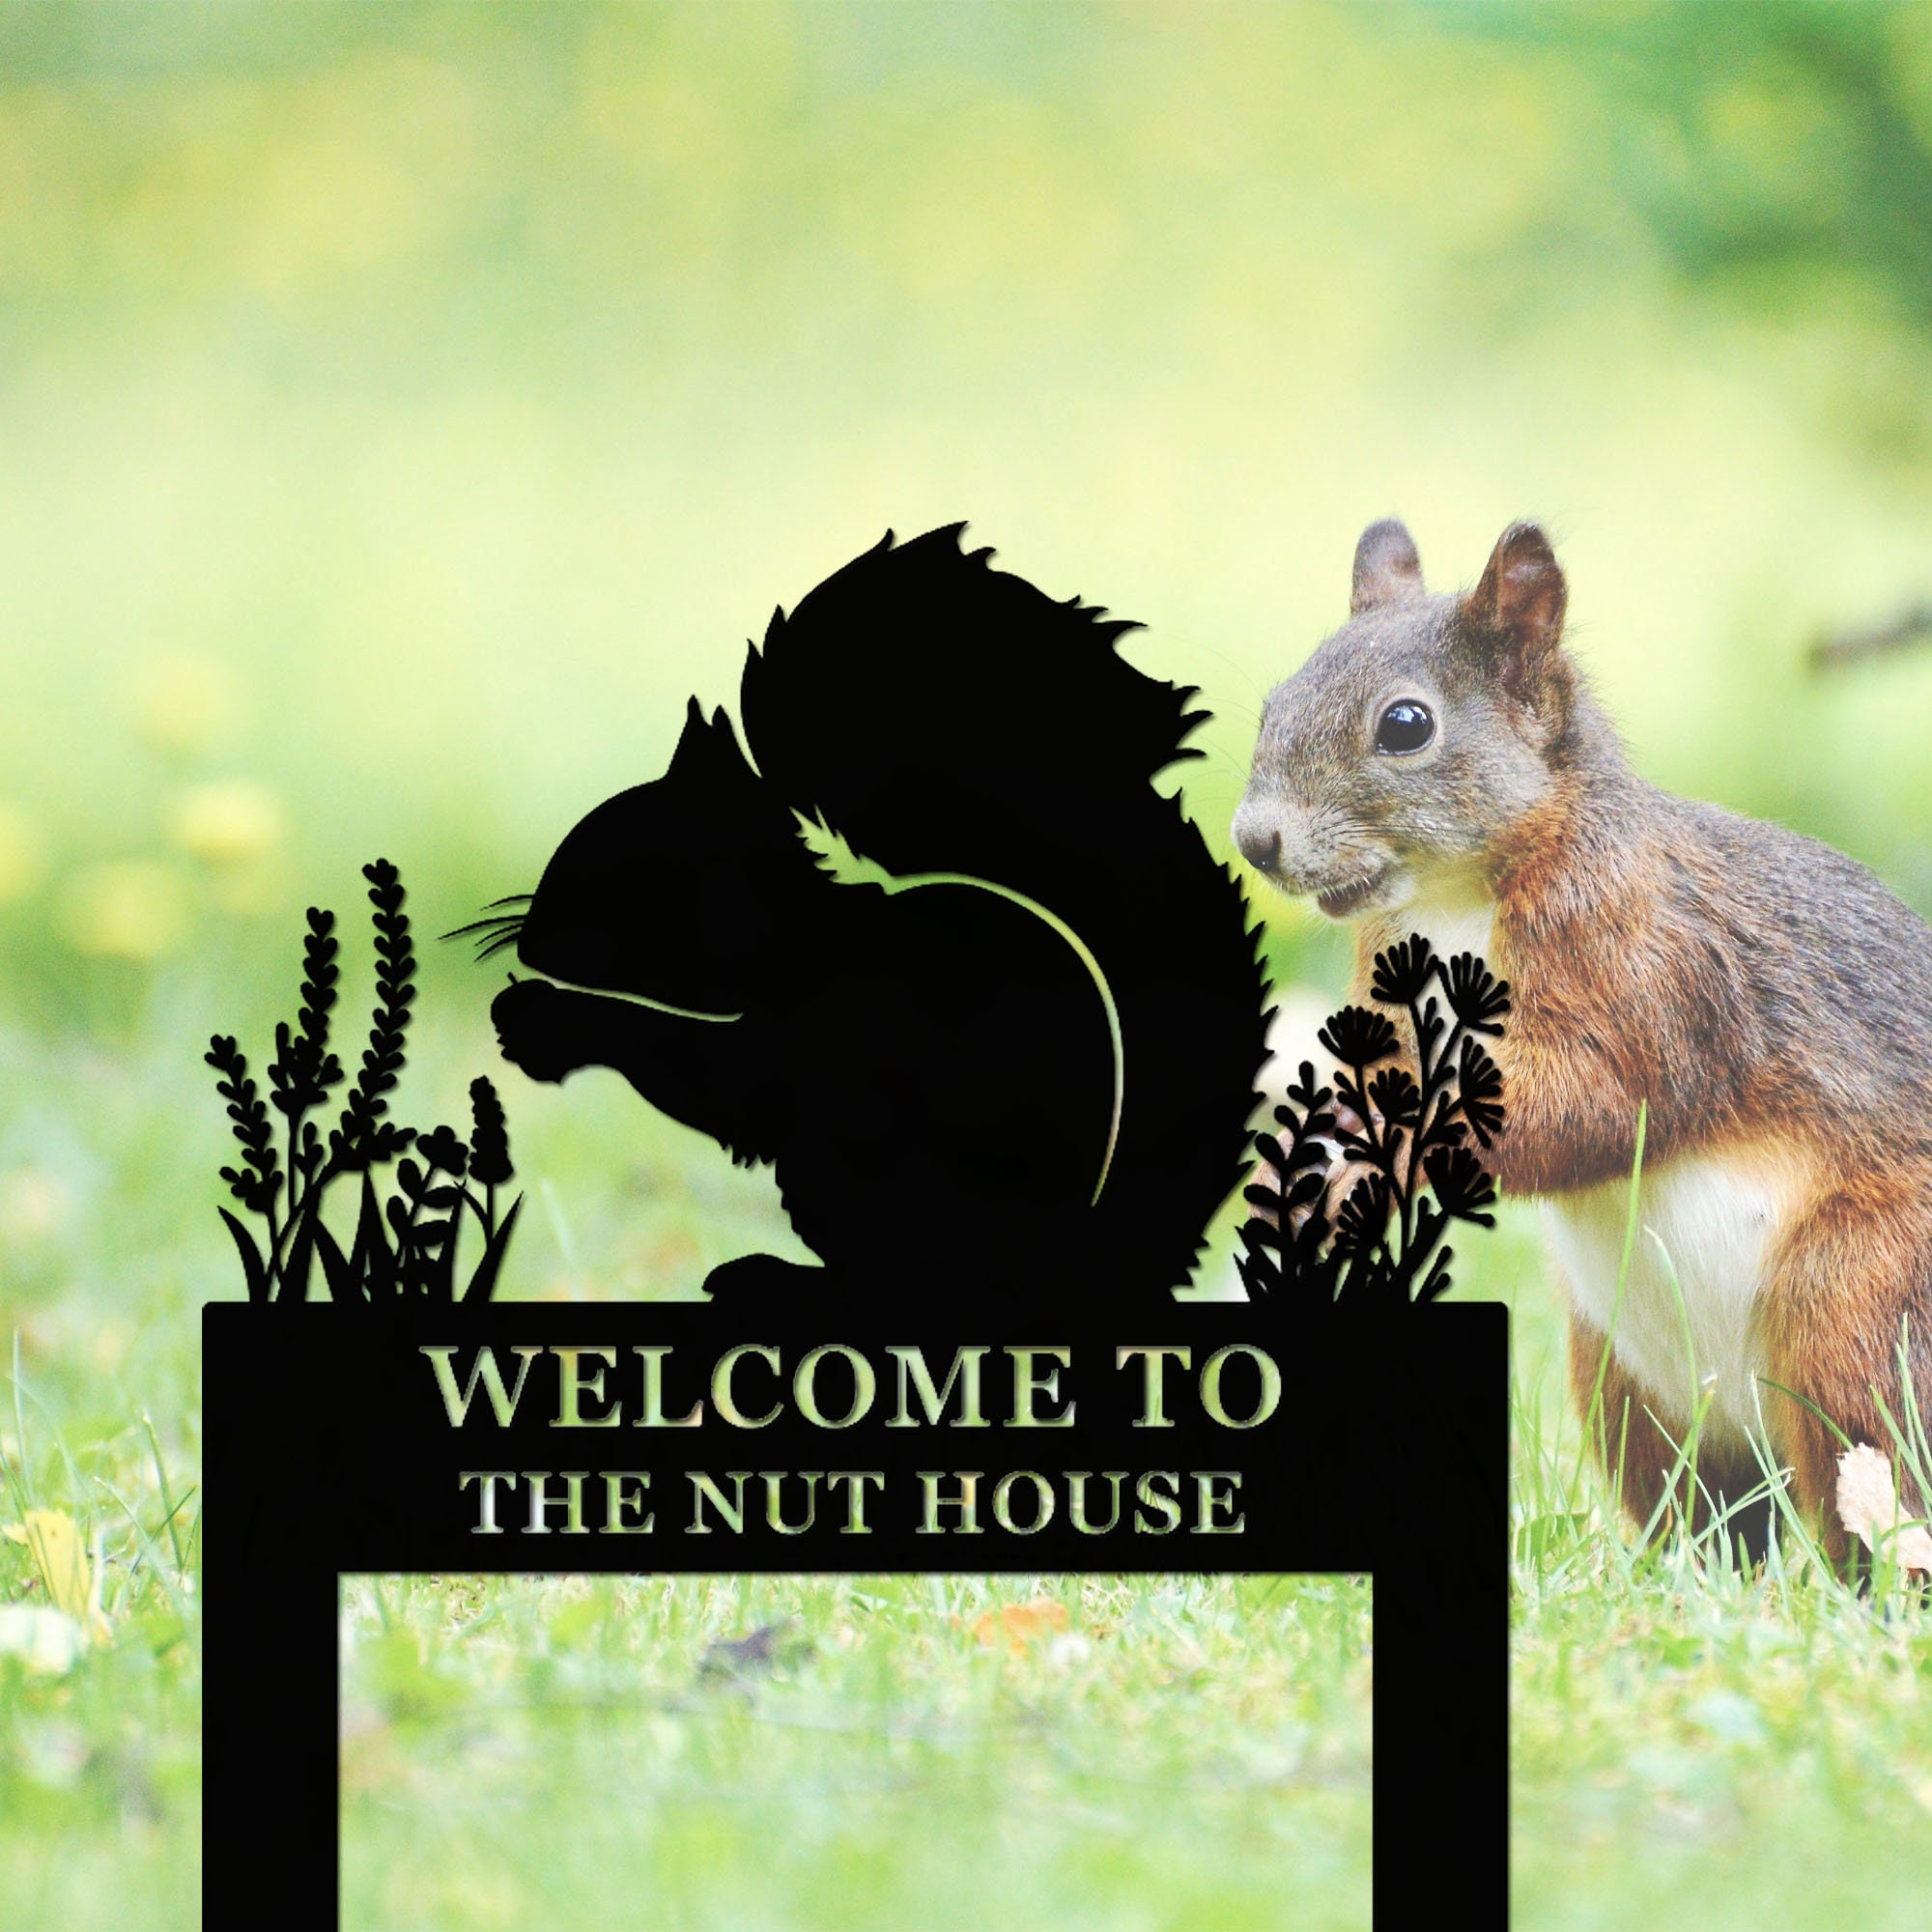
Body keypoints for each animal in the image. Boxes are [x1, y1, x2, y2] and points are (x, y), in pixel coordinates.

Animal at [482, 525, 1266, 1310]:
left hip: (853, 1167)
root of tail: (1079, 1271)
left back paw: (776, 1278)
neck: (803, 936)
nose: (530, 940)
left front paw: (546, 1020)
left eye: (633, 869)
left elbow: (723, 1077)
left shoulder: (841, 1016)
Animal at [1232, 516, 1932, 1555]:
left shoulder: (1645, 959)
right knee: (1716, 1515)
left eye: (1406, 725)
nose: (1256, 840)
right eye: (1275, 702)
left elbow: (1591, 1103)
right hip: (1624, 1385)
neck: (1452, 899)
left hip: (1860, 1303)